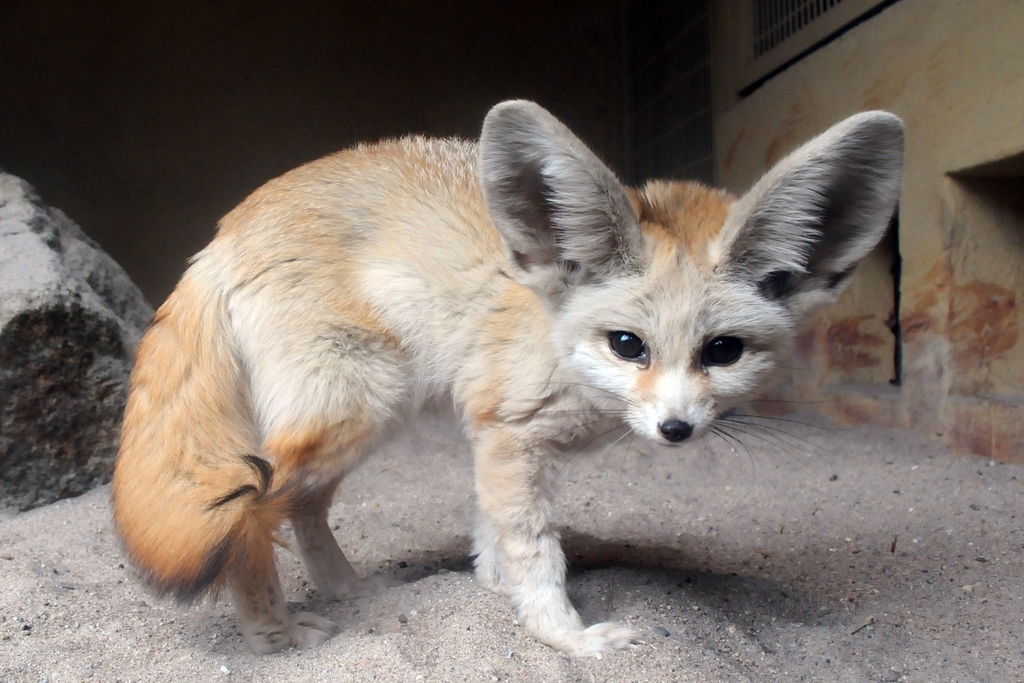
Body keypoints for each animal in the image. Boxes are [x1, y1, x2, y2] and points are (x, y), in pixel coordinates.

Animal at [112, 100, 904, 656]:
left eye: (724, 351)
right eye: (627, 345)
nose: (676, 428)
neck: (557, 331)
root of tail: (222, 237)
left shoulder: (490, 434)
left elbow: (491, 531)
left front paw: (490, 588)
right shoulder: (509, 435)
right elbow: (534, 549)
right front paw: (565, 636)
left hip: (359, 420)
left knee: (299, 509)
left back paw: (350, 591)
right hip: (357, 408)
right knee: (249, 516)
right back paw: (274, 638)